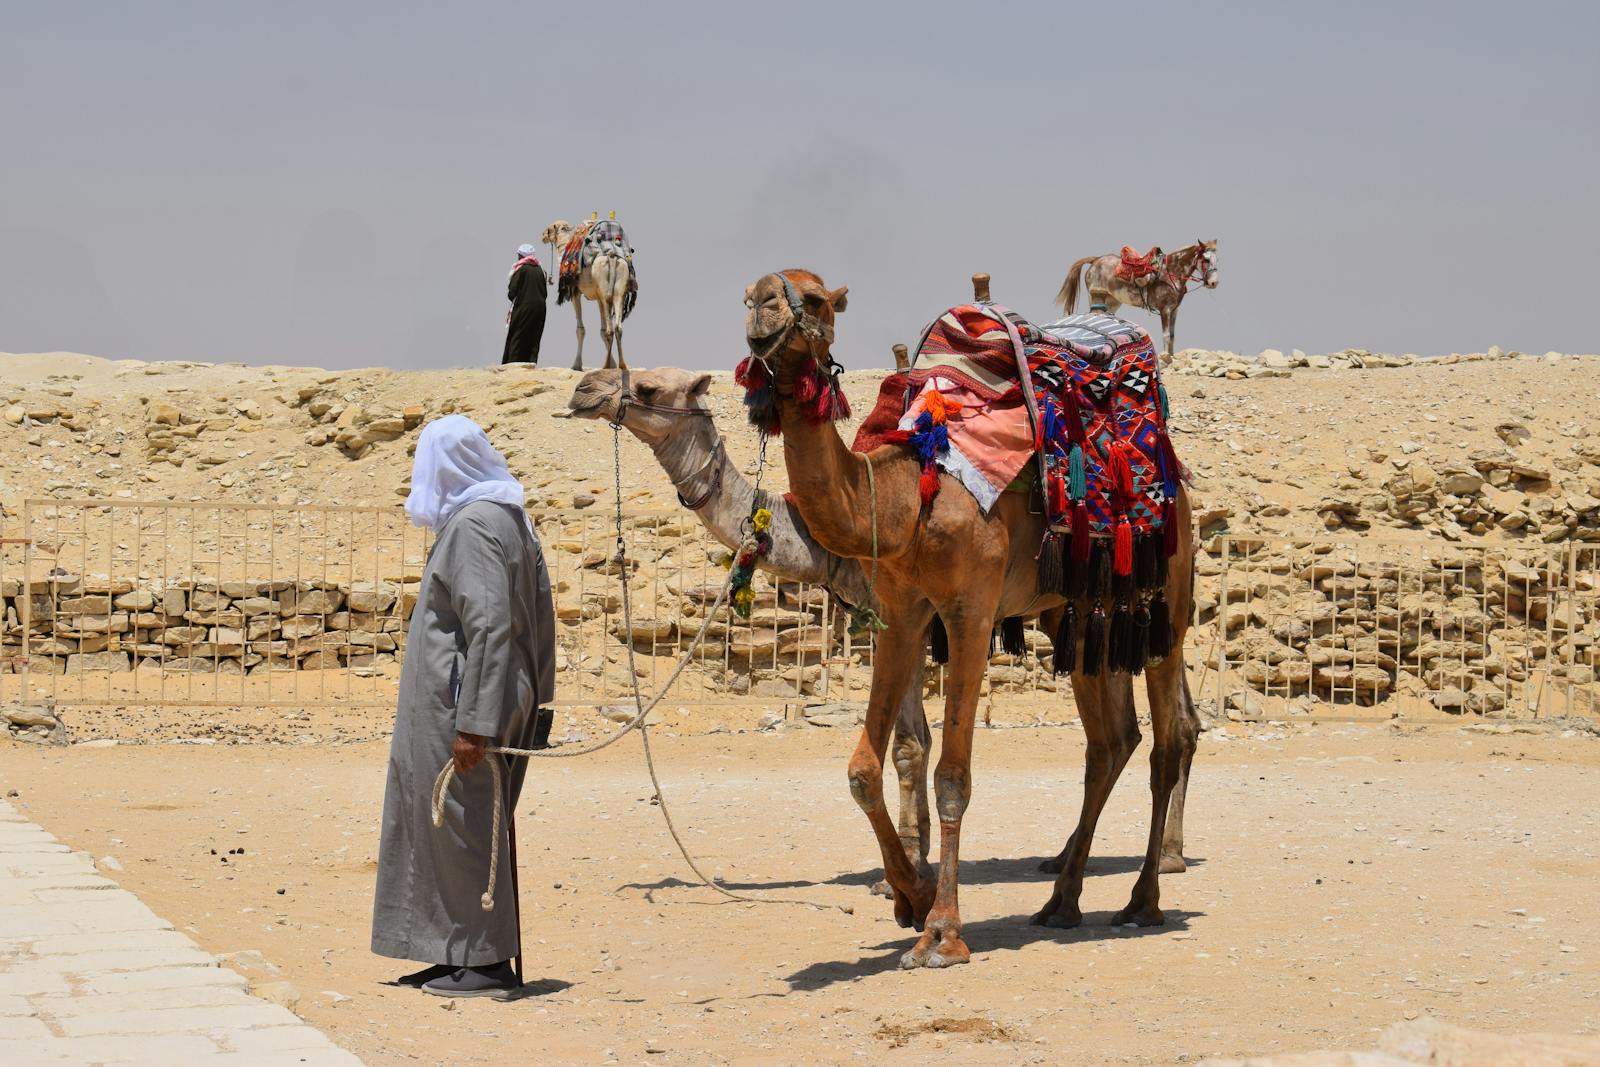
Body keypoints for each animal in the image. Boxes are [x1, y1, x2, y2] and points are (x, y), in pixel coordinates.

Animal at [542, 217, 636, 372]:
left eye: (549, 229)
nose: (542, 235)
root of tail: (612, 255)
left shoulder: (575, 291)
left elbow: (580, 329)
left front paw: (576, 365)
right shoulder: (598, 297)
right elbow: (602, 330)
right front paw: (613, 364)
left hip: (603, 289)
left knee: (610, 329)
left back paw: (605, 365)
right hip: (618, 289)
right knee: (617, 327)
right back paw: (622, 365)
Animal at [742, 269, 1199, 968]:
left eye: (814, 297)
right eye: (749, 294)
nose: (763, 306)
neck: (906, 500)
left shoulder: (971, 612)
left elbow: (952, 775)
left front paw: (941, 933)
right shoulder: (902, 611)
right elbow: (863, 769)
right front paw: (910, 895)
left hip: (1163, 600)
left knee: (1168, 741)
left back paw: (1142, 900)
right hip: (1076, 614)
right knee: (1111, 741)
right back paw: (1062, 901)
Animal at [1057, 240, 1218, 361]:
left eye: (1217, 259)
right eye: (1206, 259)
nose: (1213, 283)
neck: (1170, 273)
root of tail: (1096, 260)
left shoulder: (1174, 310)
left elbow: (1172, 336)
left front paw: (1171, 357)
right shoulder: (1165, 310)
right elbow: (1166, 335)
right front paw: (1165, 358)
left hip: (1112, 302)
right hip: (1096, 297)